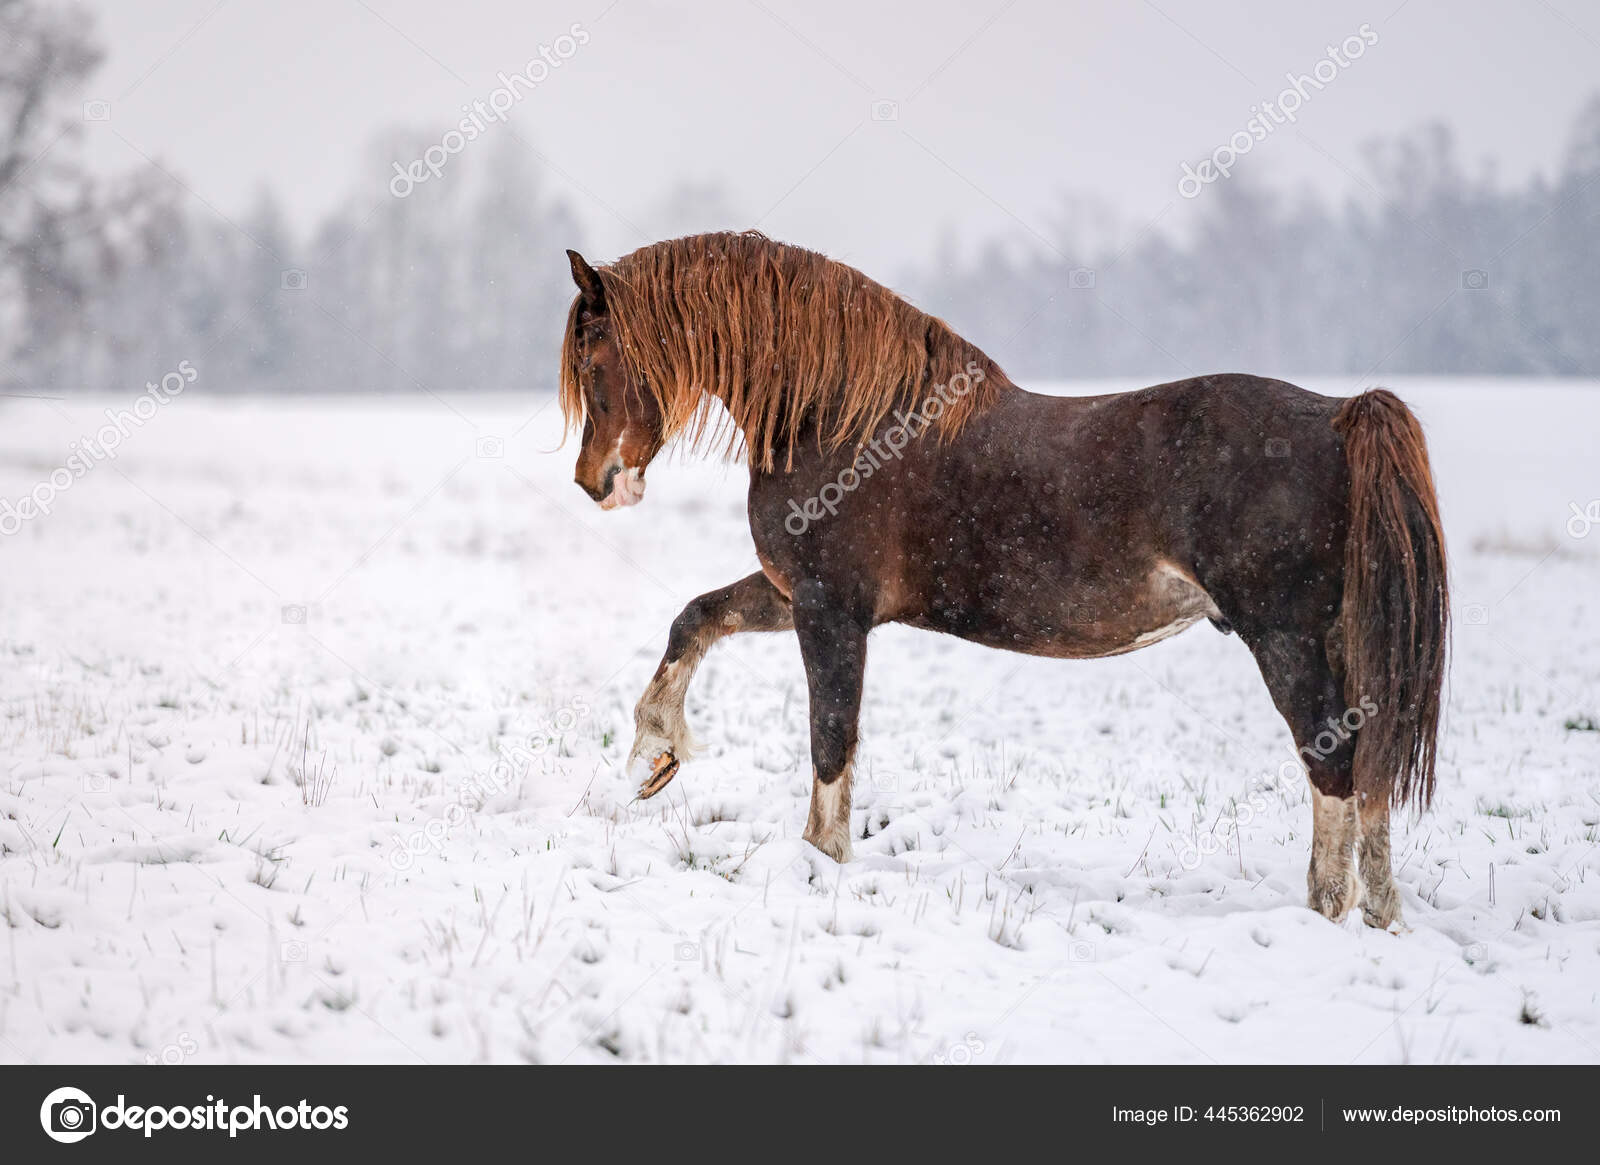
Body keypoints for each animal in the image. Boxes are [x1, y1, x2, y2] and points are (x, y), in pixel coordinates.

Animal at [557, 230, 1447, 928]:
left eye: (596, 359)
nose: (595, 482)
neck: (839, 417)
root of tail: (1338, 415)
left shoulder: (828, 609)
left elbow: (830, 740)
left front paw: (820, 861)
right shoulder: (793, 593)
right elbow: (696, 617)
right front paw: (653, 755)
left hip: (1285, 639)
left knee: (1333, 762)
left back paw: (1325, 912)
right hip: (1338, 639)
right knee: (1368, 769)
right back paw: (1381, 914)